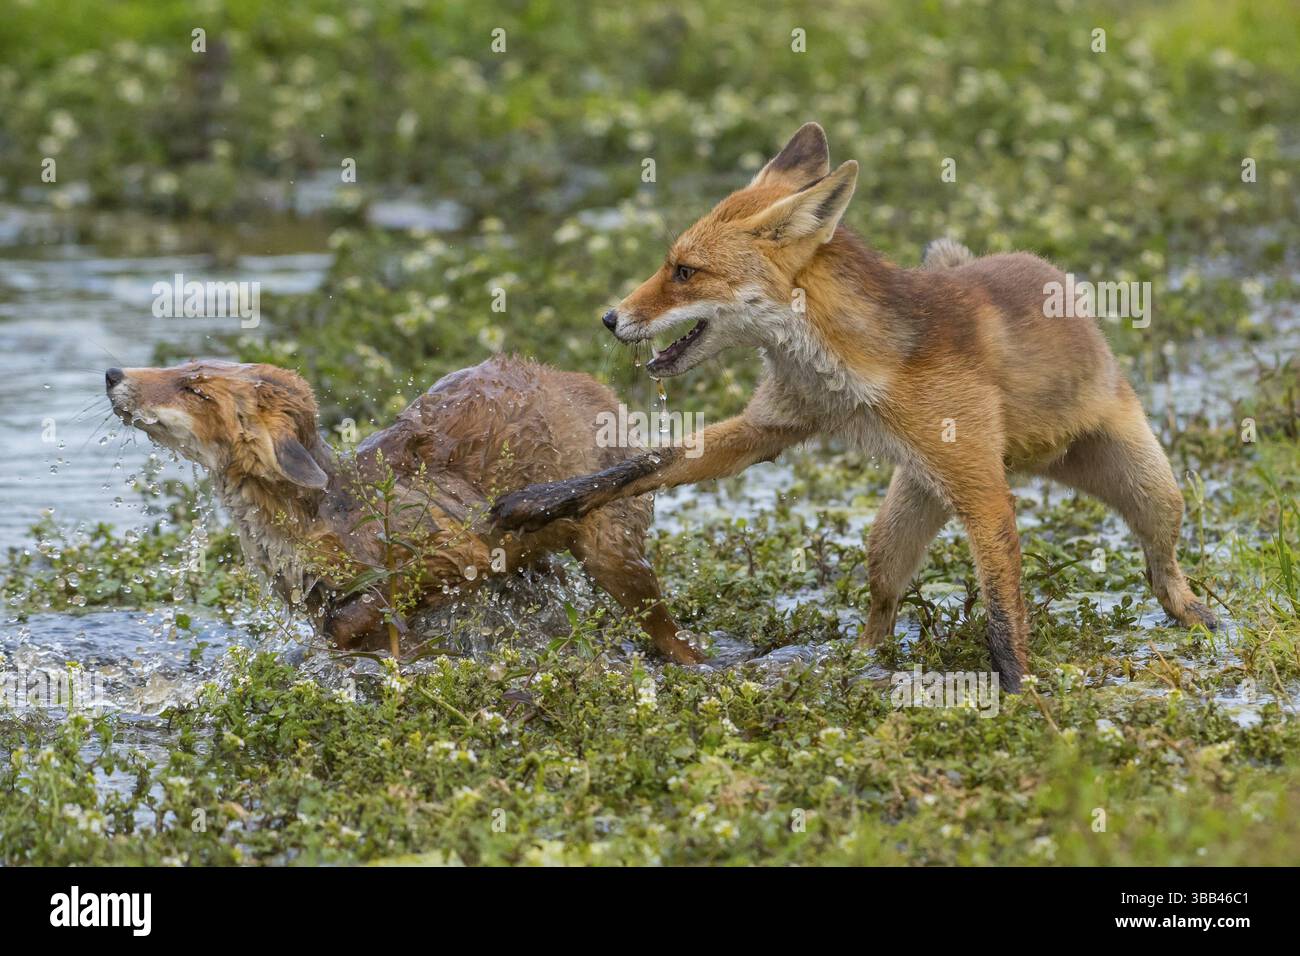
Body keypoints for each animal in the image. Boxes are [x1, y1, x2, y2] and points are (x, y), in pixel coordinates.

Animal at [105, 357, 703, 663]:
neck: (322, 518)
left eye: (195, 389)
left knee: (663, 623)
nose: (113, 375)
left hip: (609, 544)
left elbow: (360, 613)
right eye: (180, 365)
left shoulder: (454, 547)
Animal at [491, 122, 1218, 691]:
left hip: (1148, 488)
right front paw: (534, 504)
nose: (610, 318)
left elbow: (1003, 615)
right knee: (881, 608)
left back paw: (1197, 615)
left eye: (684, 272)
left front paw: (1021, 699)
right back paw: (856, 663)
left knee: (1162, 565)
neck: (859, 374)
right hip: (900, 520)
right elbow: (635, 467)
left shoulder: (983, 489)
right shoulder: (770, 427)